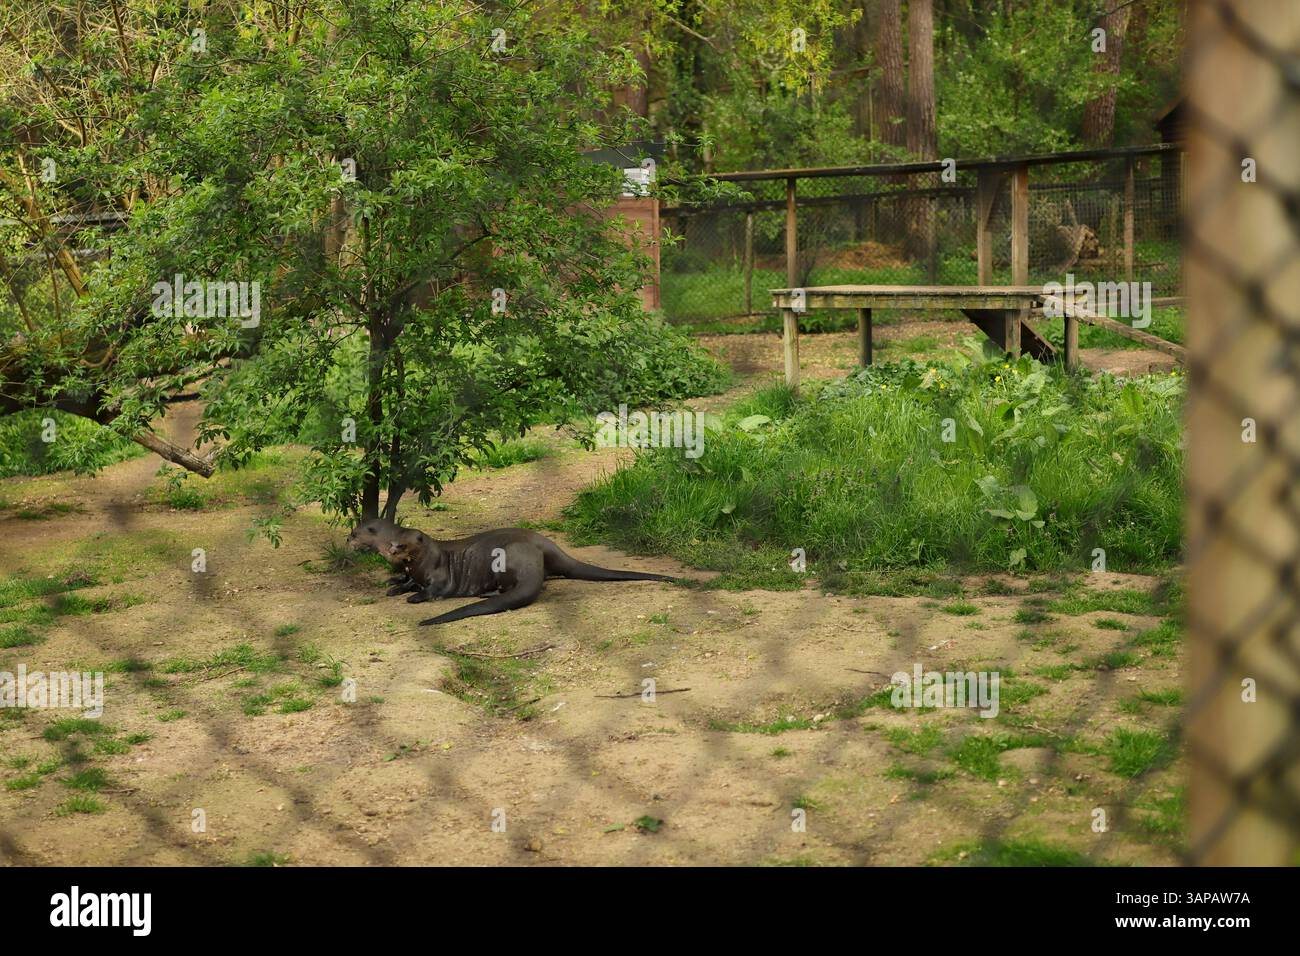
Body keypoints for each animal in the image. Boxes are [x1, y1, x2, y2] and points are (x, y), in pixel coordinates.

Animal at [373, 525, 675, 625]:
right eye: (391, 541)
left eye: (402, 545)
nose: (391, 550)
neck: (422, 563)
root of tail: (544, 547)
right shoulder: (413, 574)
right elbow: (406, 582)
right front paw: (393, 585)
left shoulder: (440, 577)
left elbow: (432, 590)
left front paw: (414, 598)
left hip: (505, 561)